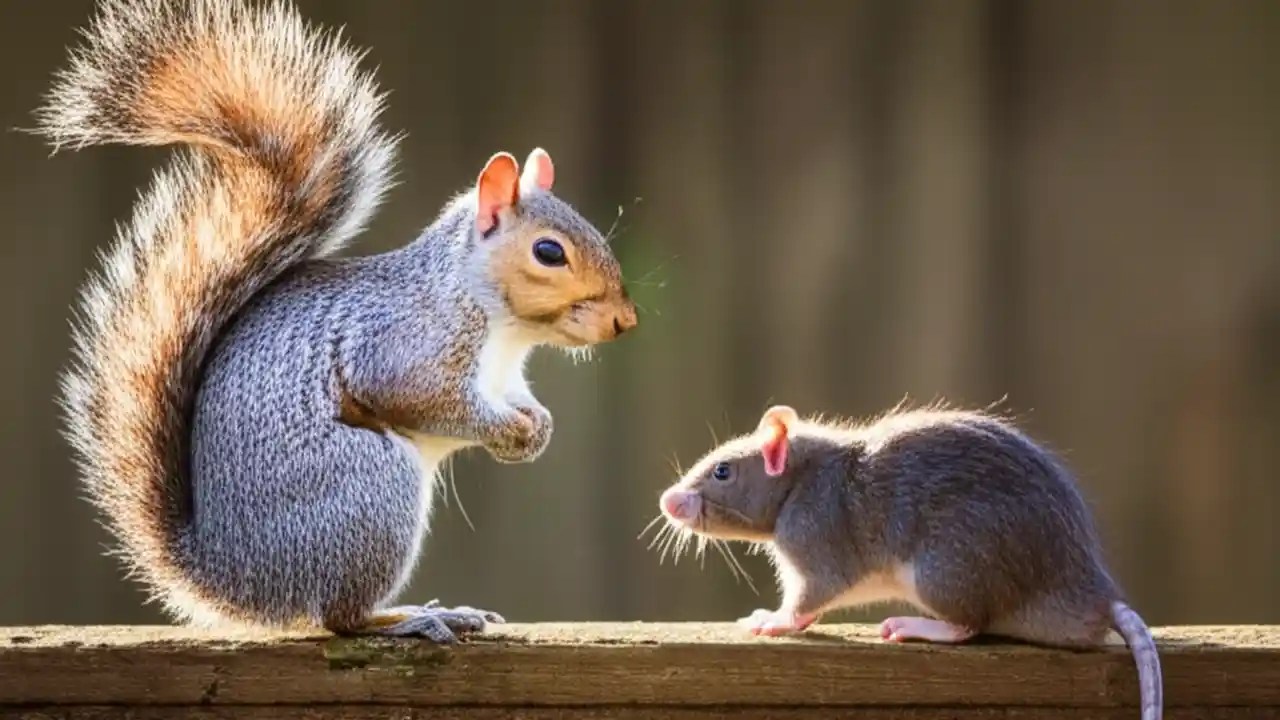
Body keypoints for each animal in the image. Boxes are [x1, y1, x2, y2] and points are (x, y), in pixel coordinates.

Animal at [35, 0, 637, 642]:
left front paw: (536, 426)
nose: (624, 320)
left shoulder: (505, 376)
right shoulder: (405, 342)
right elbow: (420, 396)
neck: (500, 328)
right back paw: (414, 618)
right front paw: (506, 432)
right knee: (343, 618)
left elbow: (519, 399)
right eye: (549, 252)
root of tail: (233, 579)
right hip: (372, 488)